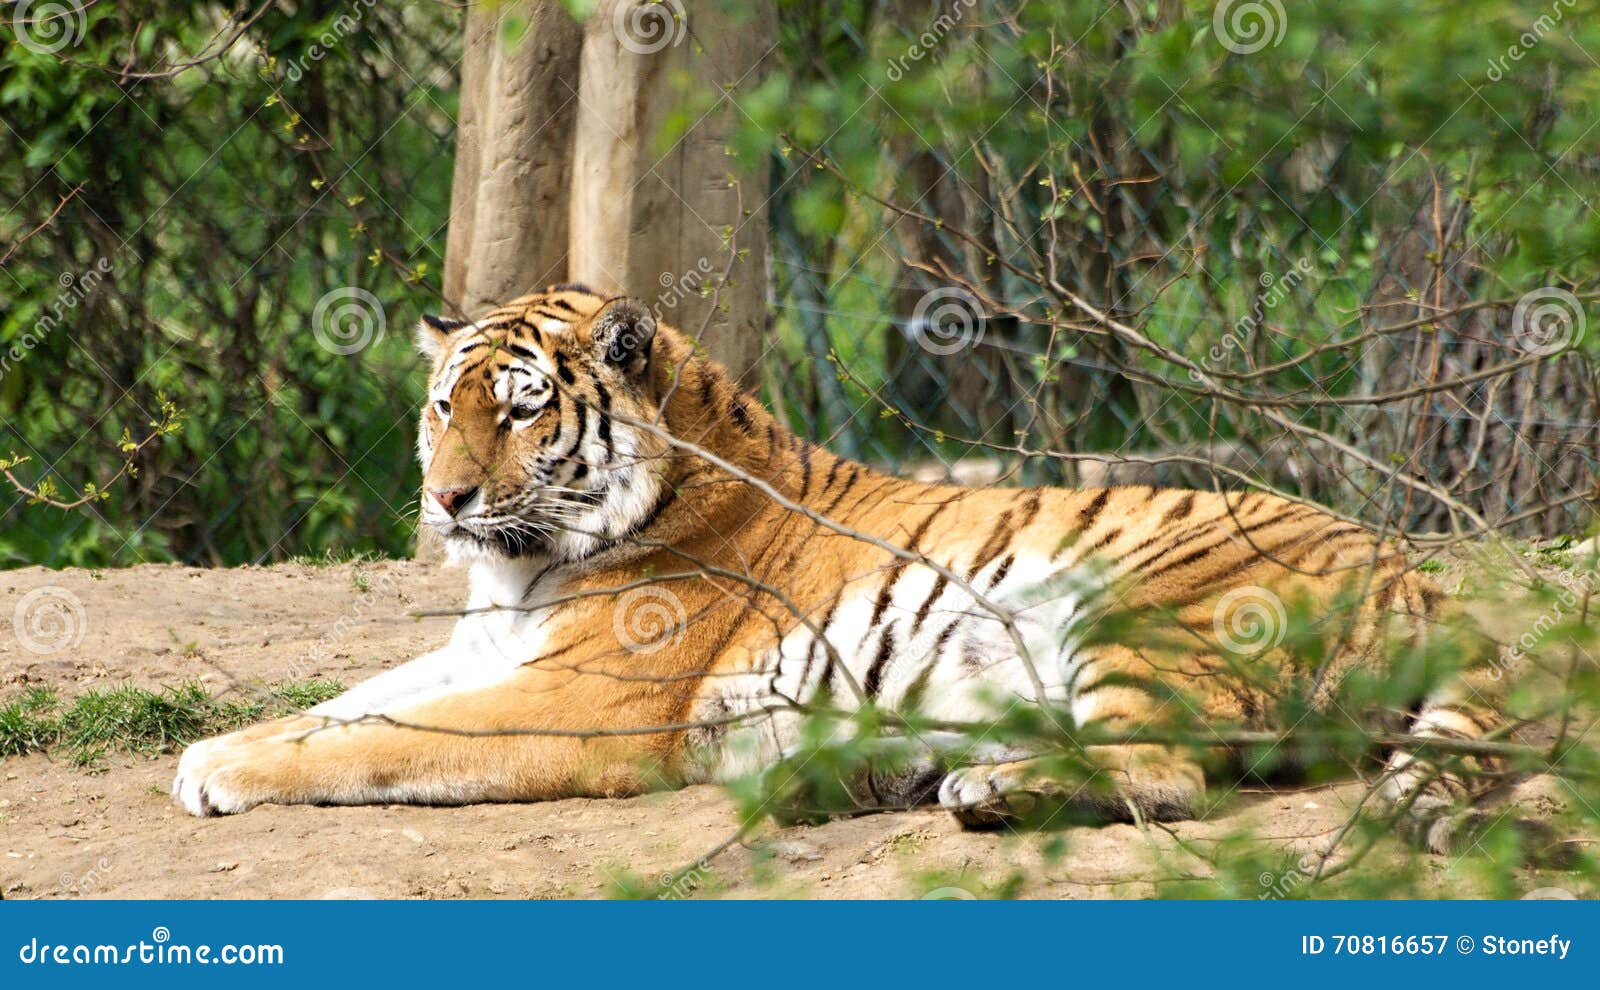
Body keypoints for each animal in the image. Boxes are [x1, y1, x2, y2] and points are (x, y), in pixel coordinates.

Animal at [172, 284, 1505, 852]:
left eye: (519, 410)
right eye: (445, 406)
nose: (444, 500)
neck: (525, 569)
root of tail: (1413, 571)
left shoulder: (581, 697)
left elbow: (383, 738)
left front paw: (222, 770)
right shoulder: (482, 649)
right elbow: (350, 703)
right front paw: (217, 746)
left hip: (1139, 607)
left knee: (1172, 773)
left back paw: (983, 792)